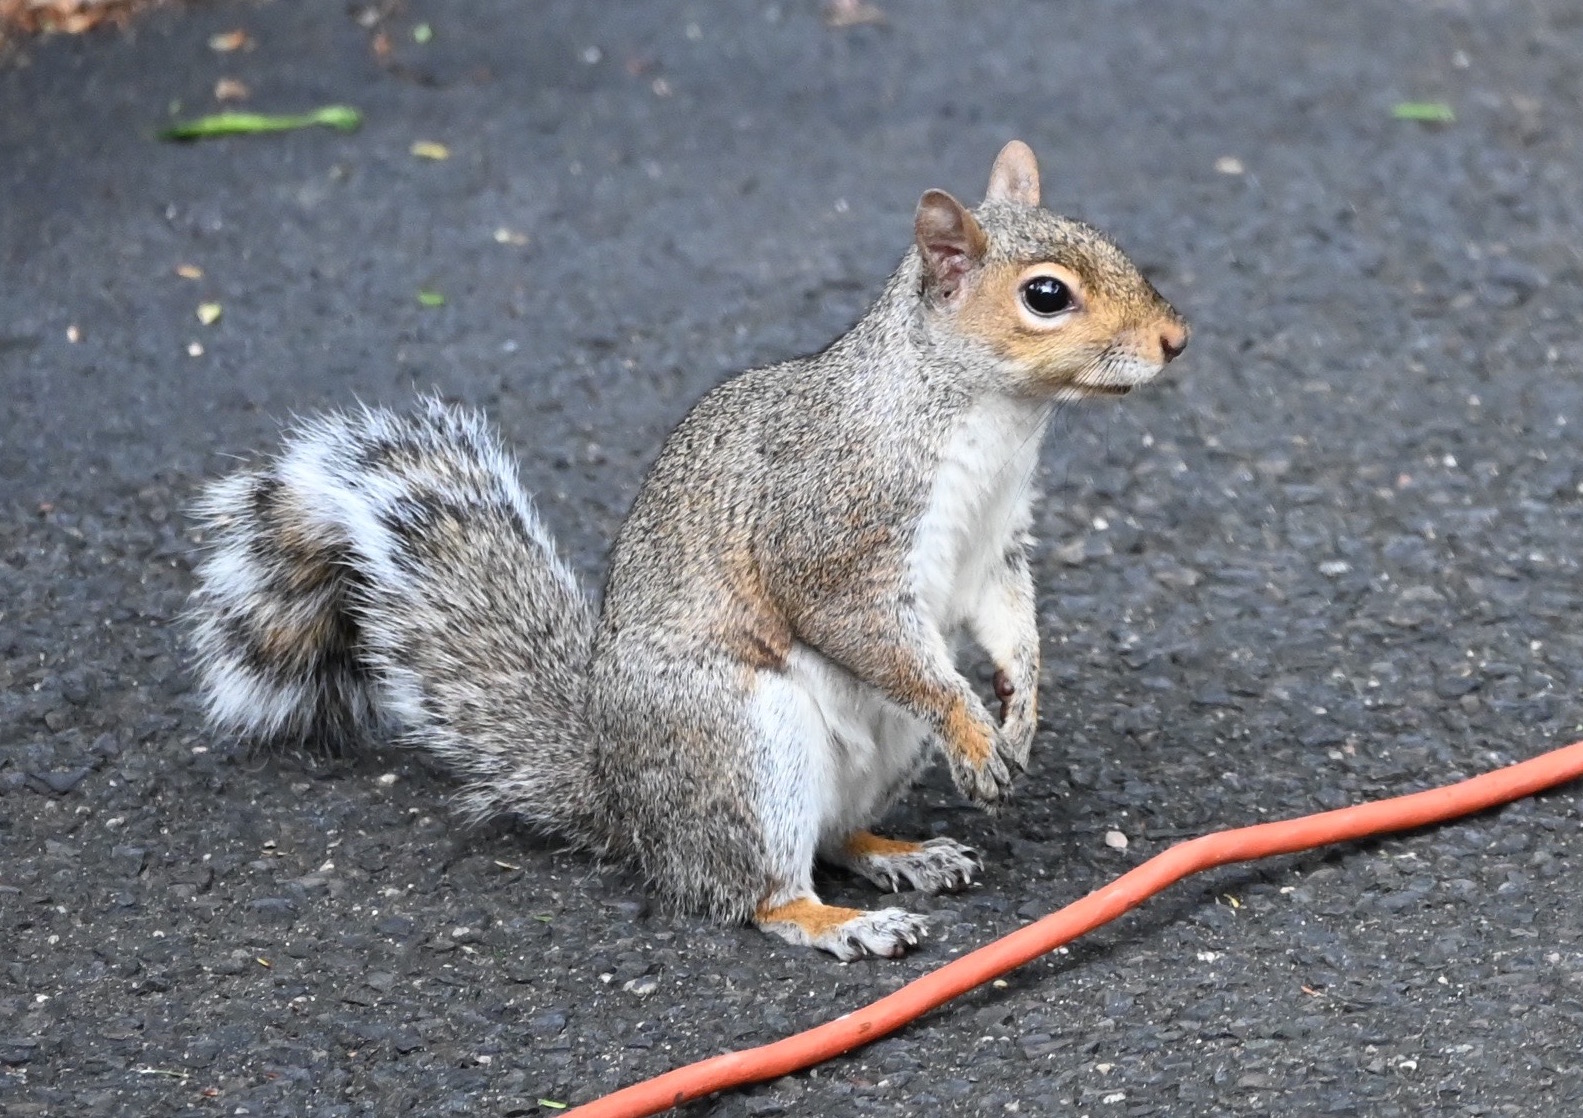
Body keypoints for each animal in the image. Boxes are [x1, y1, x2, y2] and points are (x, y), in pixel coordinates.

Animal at [187, 141, 1188, 960]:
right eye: (1046, 294)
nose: (1175, 340)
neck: (988, 413)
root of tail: (627, 810)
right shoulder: (834, 528)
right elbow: (862, 625)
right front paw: (974, 732)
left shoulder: (995, 545)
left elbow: (1010, 623)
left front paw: (1018, 711)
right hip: (740, 746)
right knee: (754, 890)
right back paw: (844, 922)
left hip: (866, 753)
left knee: (832, 836)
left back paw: (900, 854)